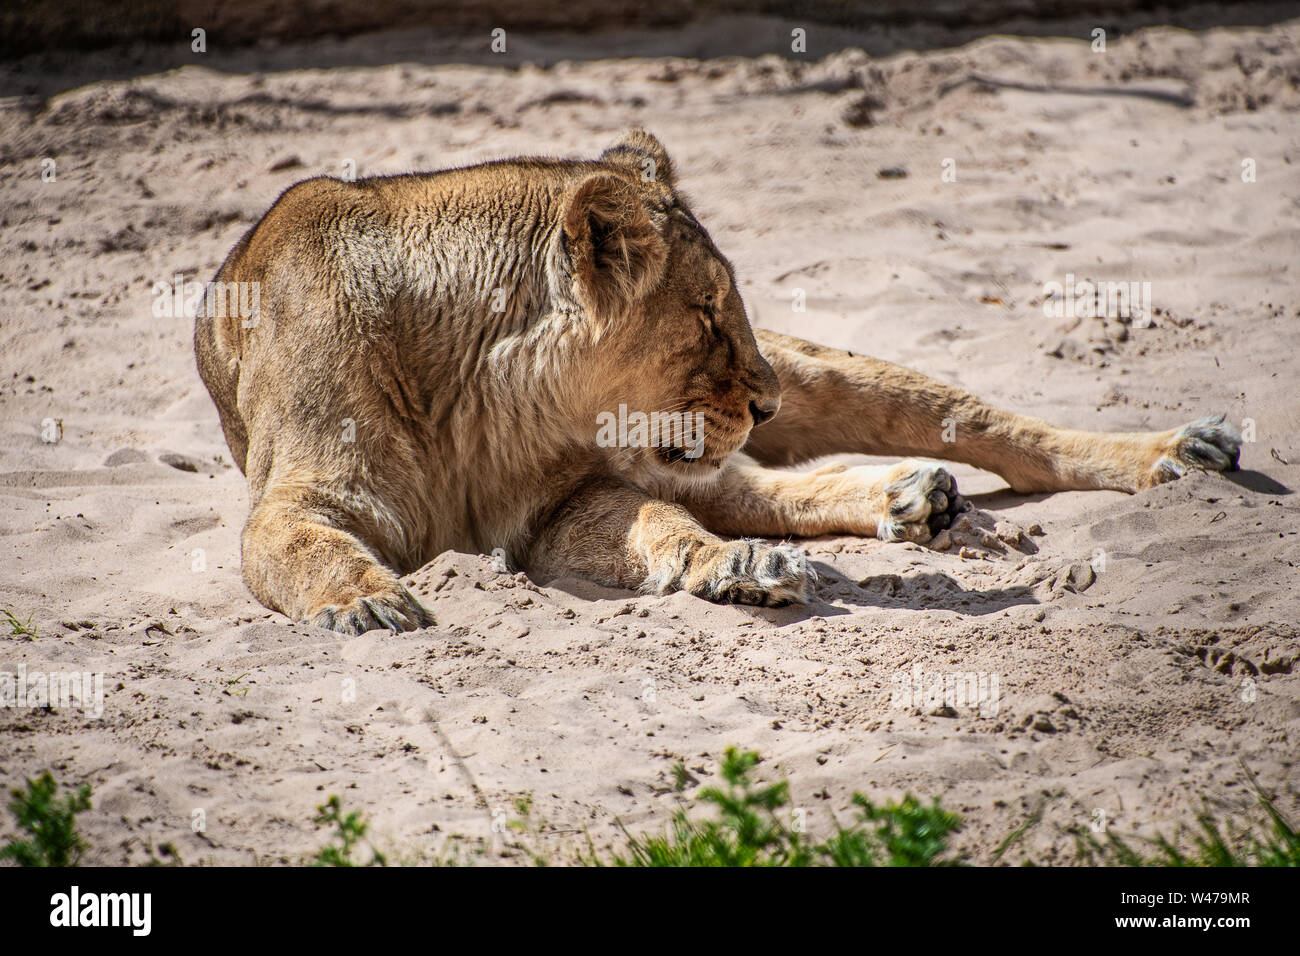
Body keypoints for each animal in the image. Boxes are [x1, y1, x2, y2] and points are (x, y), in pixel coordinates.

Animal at [194, 129, 1241, 634]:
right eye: (704, 313)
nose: (766, 399)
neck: (479, 402)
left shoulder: (565, 497)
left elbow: (664, 524)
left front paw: (738, 571)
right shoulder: (298, 498)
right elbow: (303, 548)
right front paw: (367, 602)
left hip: (826, 380)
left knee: (976, 421)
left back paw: (1179, 453)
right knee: (766, 489)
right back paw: (919, 503)